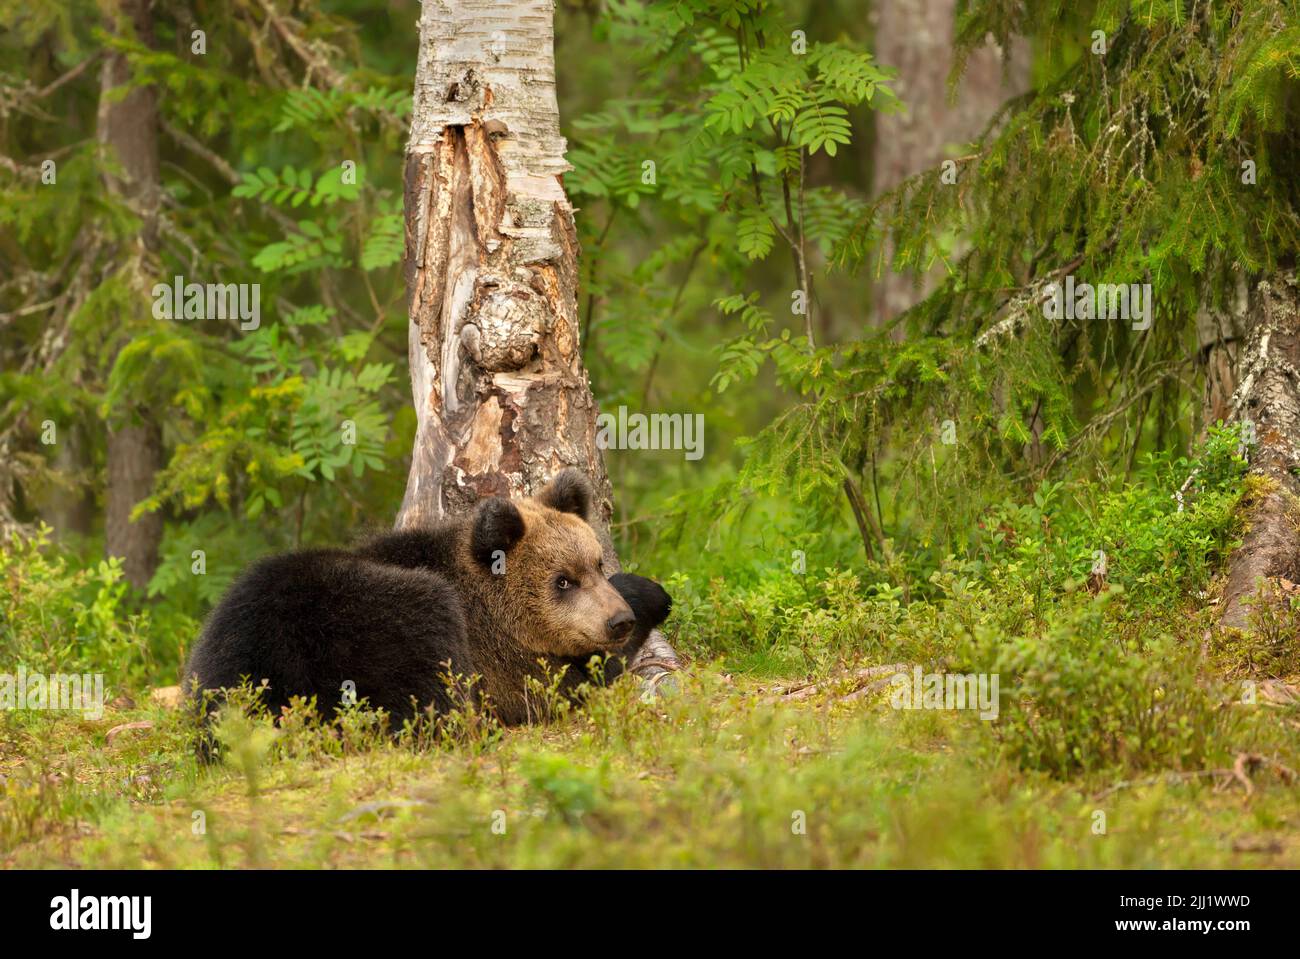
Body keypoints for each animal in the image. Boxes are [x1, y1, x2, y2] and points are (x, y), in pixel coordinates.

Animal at [184, 469, 672, 736]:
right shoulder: (496, 657)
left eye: (596, 563)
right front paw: (650, 594)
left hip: (229, 633)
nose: (618, 621)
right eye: (563, 581)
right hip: (355, 623)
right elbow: (562, 685)